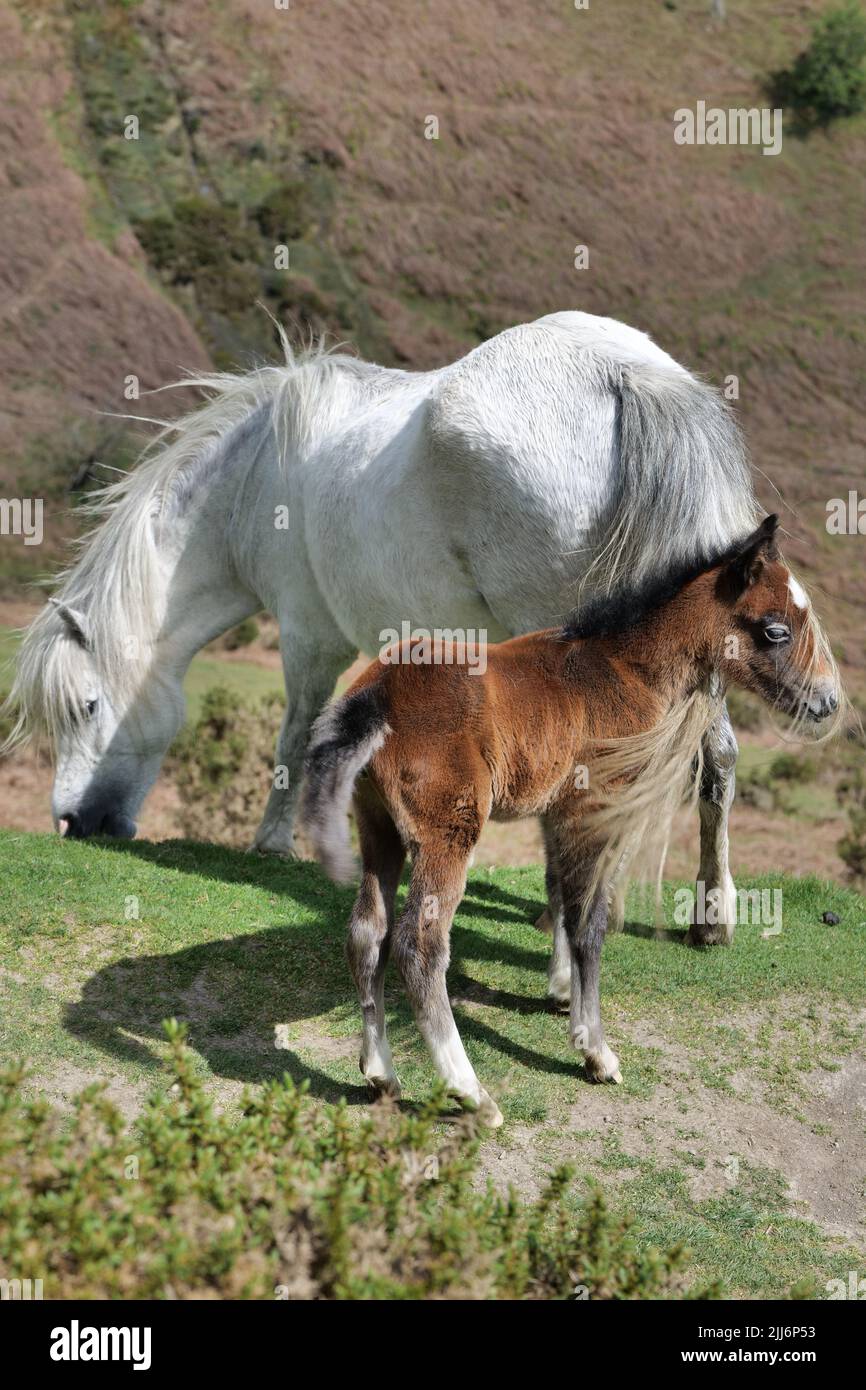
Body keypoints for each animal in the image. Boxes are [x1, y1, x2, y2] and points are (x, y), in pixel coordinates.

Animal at [8, 311, 759, 960]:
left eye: (87, 707)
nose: (71, 822)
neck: (256, 482)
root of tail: (625, 375)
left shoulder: (310, 639)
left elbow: (294, 740)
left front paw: (272, 843)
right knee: (716, 757)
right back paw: (710, 917)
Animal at [301, 515, 841, 1126]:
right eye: (775, 630)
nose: (827, 701)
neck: (626, 670)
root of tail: (376, 693)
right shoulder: (596, 812)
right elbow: (591, 923)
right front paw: (595, 1051)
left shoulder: (560, 814)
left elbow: (559, 891)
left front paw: (561, 994)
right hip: (447, 833)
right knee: (420, 945)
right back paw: (471, 1092)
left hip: (379, 829)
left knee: (367, 934)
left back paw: (380, 1074)